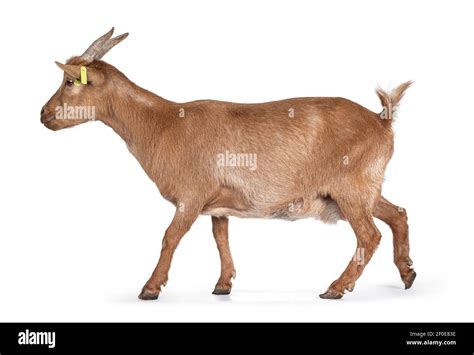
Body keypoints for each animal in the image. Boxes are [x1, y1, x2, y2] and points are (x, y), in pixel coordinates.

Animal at [42, 28, 416, 300]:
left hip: (350, 188)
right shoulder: (218, 203)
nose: (43, 115)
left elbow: (170, 237)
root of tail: (382, 120)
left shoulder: (191, 196)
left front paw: (150, 288)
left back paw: (336, 288)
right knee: (398, 214)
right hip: (364, 190)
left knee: (369, 235)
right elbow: (220, 236)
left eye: (69, 81)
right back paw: (408, 273)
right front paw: (223, 284)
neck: (163, 124)